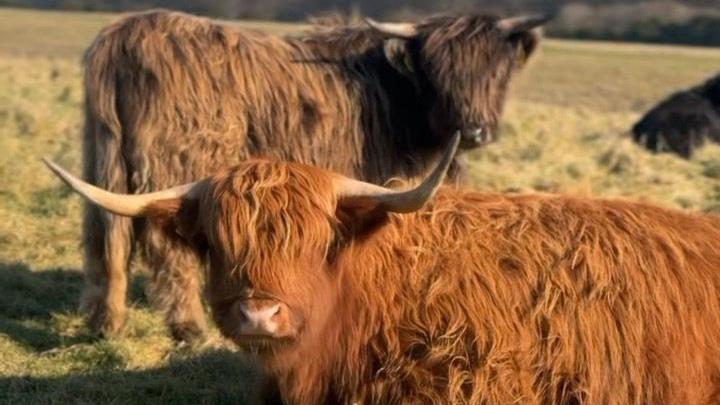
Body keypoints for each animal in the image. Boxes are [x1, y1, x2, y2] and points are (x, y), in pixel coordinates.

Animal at [81, 9, 548, 341]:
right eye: (438, 70)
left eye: (496, 71)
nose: (473, 130)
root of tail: (124, 35)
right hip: (179, 164)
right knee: (166, 251)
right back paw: (189, 328)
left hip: (103, 156)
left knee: (105, 238)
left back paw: (106, 322)